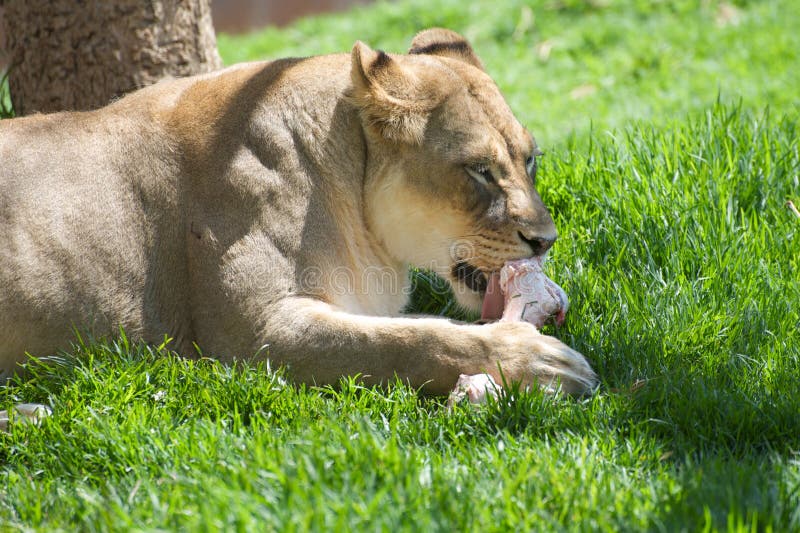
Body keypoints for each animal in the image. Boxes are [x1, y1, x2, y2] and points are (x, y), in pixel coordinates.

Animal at [0, 29, 597, 399]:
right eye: (479, 170)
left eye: (529, 159)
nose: (546, 240)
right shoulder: (250, 336)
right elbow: (410, 341)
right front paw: (542, 361)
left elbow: (411, 330)